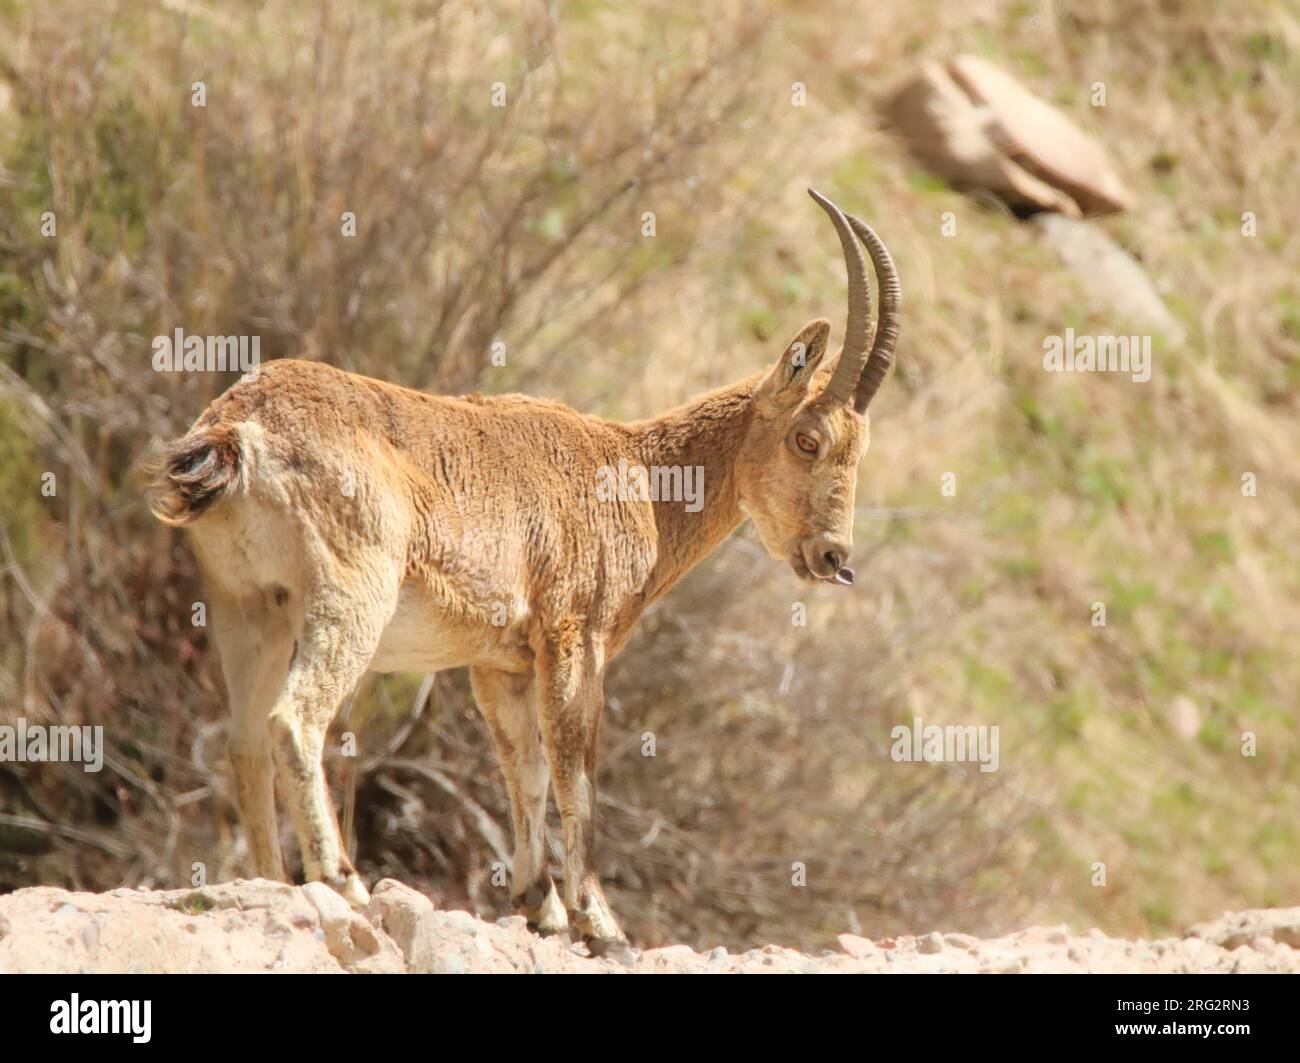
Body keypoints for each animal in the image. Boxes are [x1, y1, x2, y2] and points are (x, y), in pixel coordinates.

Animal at [149, 190, 901, 957]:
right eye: (808, 439)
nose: (833, 556)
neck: (639, 480)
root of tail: (237, 431)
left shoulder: (499, 662)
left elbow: (525, 766)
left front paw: (540, 903)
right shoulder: (574, 636)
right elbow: (575, 770)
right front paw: (600, 921)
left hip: (247, 607)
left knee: (243, 740)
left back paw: (271, 881)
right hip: (349, 596)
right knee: (294, 719)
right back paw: (343, 878)